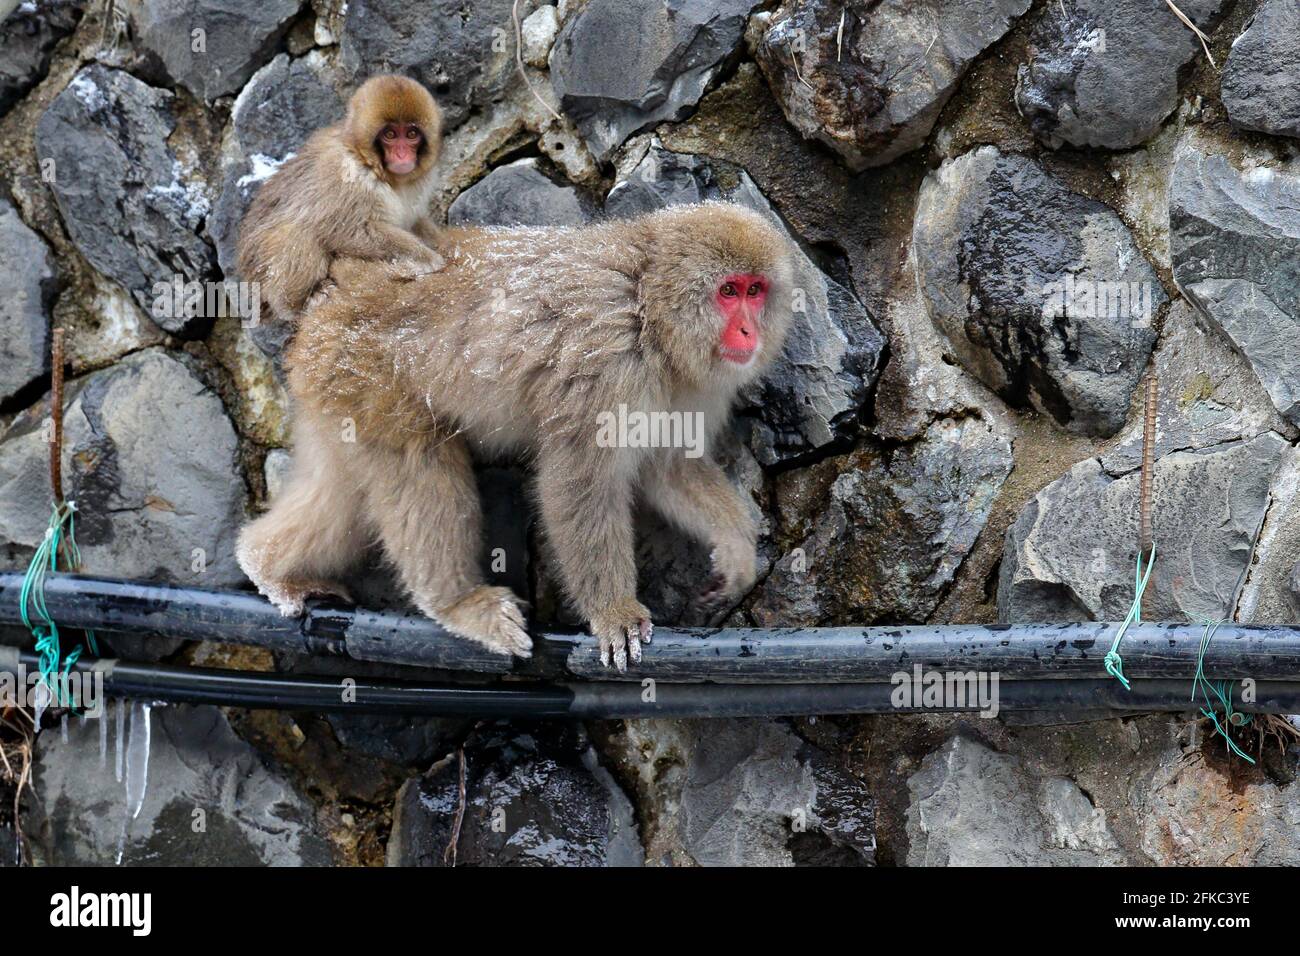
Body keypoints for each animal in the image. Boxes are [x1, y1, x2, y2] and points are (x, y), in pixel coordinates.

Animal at [235, 202, 796, 671]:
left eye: (756, 291)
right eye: (728, 291)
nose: (749, 332)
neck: (647, 311)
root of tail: (332, 296)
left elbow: (665, 464)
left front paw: (735, 540)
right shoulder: (607, 363)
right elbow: (578, 483)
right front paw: (612, 611)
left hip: (333, 393)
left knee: (341, 494)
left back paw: (266, 565)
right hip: (367, 378)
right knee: (420, 467)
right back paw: (455, 603)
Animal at [236, 74, 446, 322]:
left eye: (411, 134)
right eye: (390, 135)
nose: (402, 155)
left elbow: (414, 219)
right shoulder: (344, 175)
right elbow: (345, 230)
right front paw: (426, 257)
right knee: (296, 232)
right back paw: (299, 303)